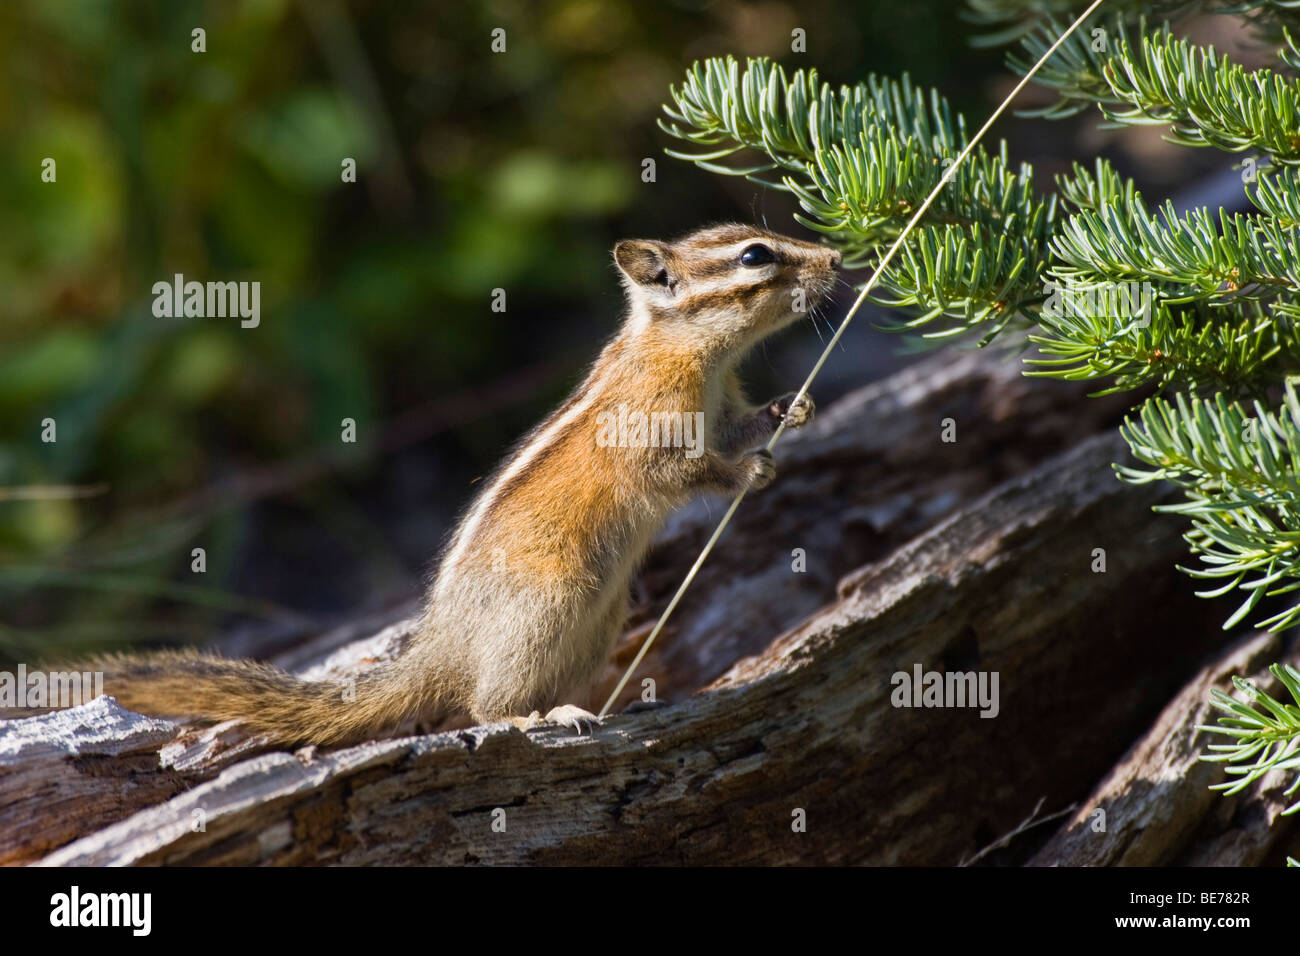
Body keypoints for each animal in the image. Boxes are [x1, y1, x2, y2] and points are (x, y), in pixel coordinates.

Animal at [83, 224, 841, 746]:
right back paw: (545, 717)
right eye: (756, 256)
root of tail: (443, 644)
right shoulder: (650, 430)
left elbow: (740, 426)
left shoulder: (722, 406)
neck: (689, 353)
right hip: (549, 604)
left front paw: (791, 410)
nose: (835, 259)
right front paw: (747, 473)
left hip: (601, 620)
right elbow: (682, 473)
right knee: (484, 706)